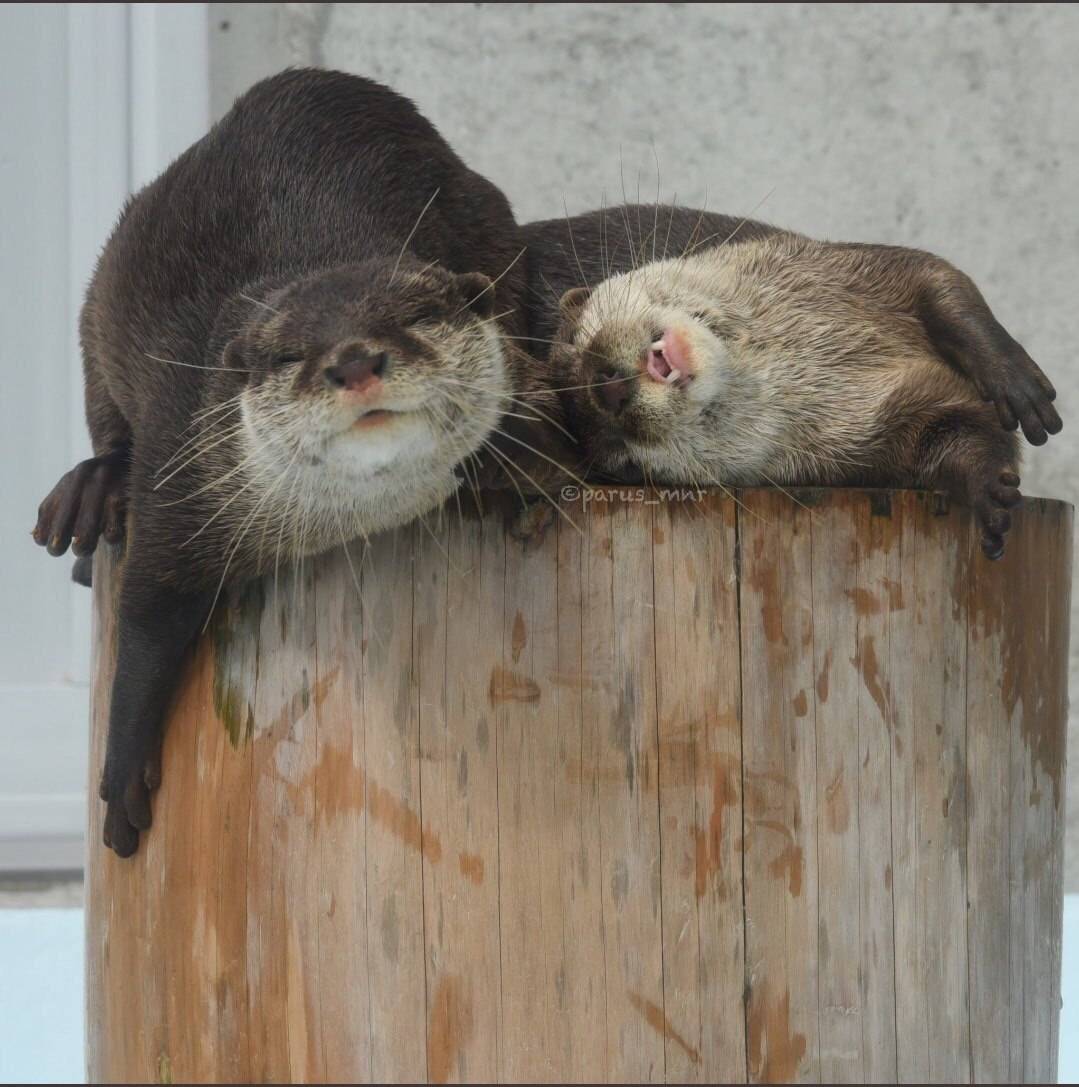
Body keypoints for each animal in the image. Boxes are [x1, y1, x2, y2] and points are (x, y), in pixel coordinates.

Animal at [32, 68, 535, 857]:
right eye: (291, 355)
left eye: (418, 319)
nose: (354, 360)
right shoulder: (181, 481)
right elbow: (145, 619)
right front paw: (122, 771)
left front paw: (516, 468)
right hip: (102, 292)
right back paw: (92, 491)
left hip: (488, 211)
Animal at [544, 230, 1046, 558]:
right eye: (624, 460)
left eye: (576, 338)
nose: (606, 388)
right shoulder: (876, 435)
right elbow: (957, 427)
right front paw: (988, 489)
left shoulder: (845, 268)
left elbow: (939, 279)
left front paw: (1014, 379)